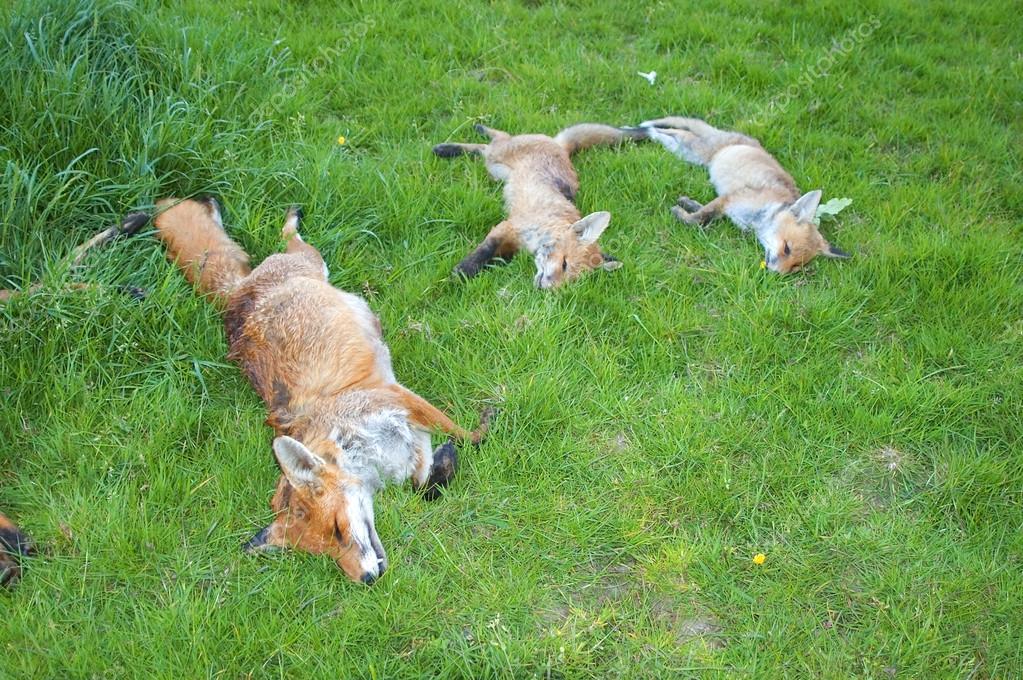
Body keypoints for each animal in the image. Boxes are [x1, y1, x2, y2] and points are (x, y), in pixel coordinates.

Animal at [154, 197, 491, 584]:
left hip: (312, 262)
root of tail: (234, 297)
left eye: (338, 530)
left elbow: (469, 436)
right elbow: (426, 483)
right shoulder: (413, 449)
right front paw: (445, 465)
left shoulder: (397, 398)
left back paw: (290, 217)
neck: (359, 448)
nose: (366, 580)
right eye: (327, 555)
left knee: (289, 239)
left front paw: (485, 425)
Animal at [432, 122, 647, 289]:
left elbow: (495, 256)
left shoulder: (512, 244)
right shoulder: (508, 227)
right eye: (564, 264)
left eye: (571, 281)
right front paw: (461, 272)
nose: (548, 289)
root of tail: (560, 147)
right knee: (496, 138)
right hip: (498, 156)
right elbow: (483, 252)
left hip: (496, 170)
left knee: (484, 147)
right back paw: (458, 140)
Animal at [639, 116, 850, 274]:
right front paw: (681, 213)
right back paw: (641, 131)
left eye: (796, 266)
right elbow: (698, 219)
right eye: (786, 248)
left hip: (687, 152)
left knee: (671, 134)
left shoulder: (726, 206)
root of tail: (745, 138)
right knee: (671, 131)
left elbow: (704, 213)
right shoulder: (730, 198)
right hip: (696, 149)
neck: (757, 221)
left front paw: (688, 203)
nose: (776, 273)